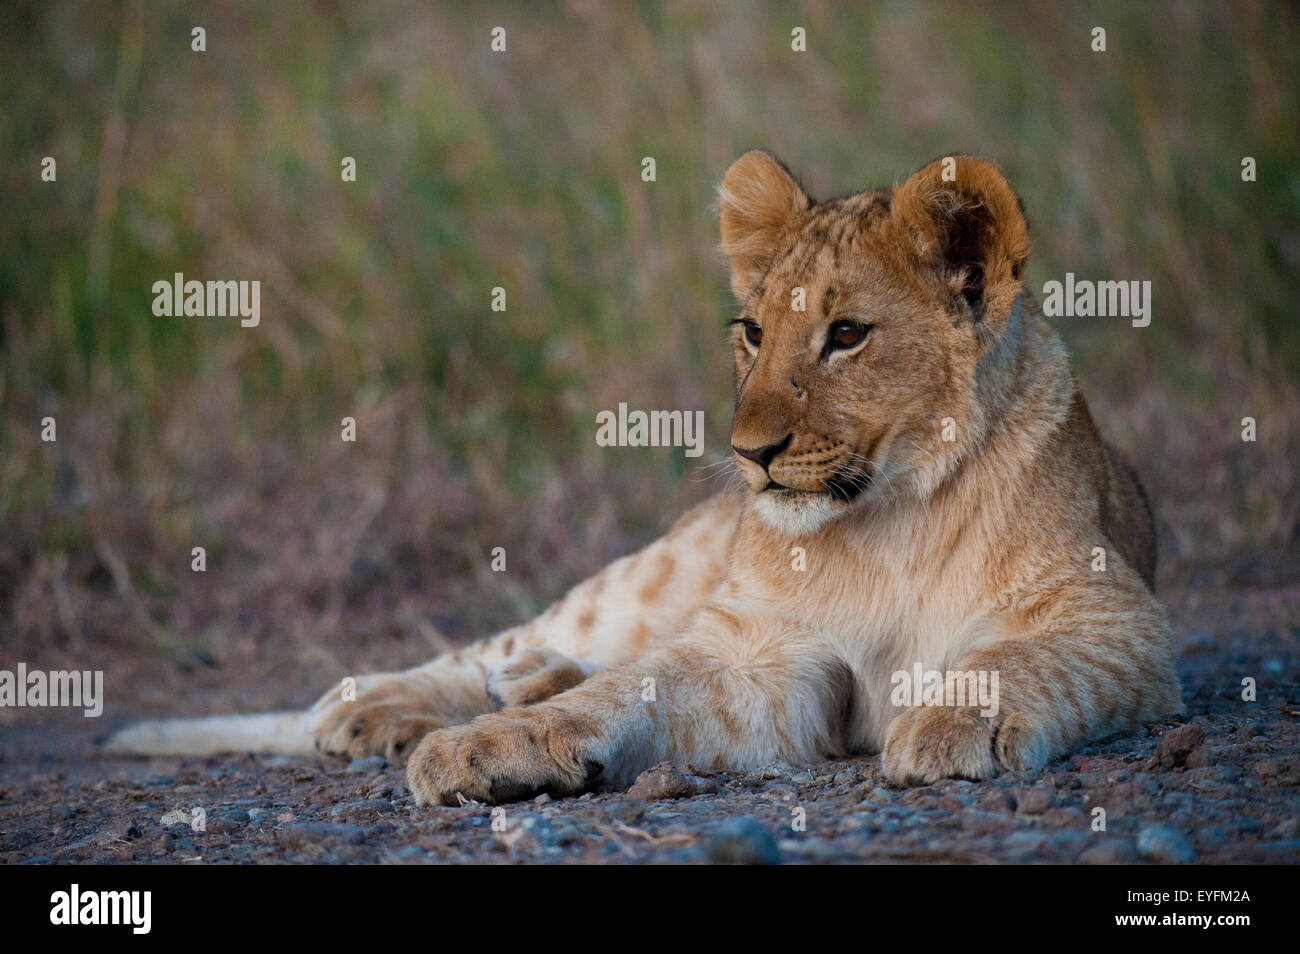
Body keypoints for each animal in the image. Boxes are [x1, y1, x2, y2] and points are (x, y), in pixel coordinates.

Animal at [108, 152, 1182, 806]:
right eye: (752, 331)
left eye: (846, 335)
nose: (749, 454)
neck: (893, 512)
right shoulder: (762, 650)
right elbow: (632, 691)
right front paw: (490, 747)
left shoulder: (1116, 620)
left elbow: (1017, 660)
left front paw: (951, 720)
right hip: (648, 576)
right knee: (517, 642)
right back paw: (385, 708)